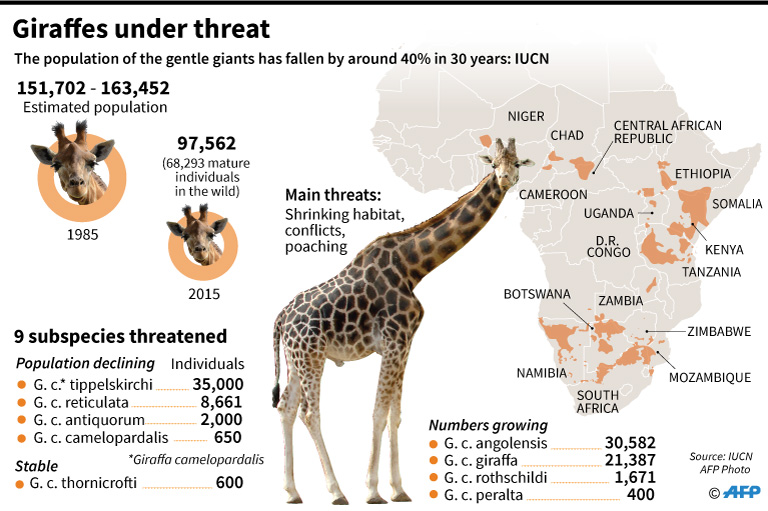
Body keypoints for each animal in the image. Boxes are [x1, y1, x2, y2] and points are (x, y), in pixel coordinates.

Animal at [272, 138, 533, 504]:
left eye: (518, 163)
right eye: (494, 164)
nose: (507, 178)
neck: (414, 267)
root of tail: (282, 316)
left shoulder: (405, 343)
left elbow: (394, 415)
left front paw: (398, 489)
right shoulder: (394, 341)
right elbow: (379, 412)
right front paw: (372, 490)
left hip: (296, 357)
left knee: (286, 407)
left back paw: (292, 492)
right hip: (311, 356)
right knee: (309, 412)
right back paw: (336, 491)